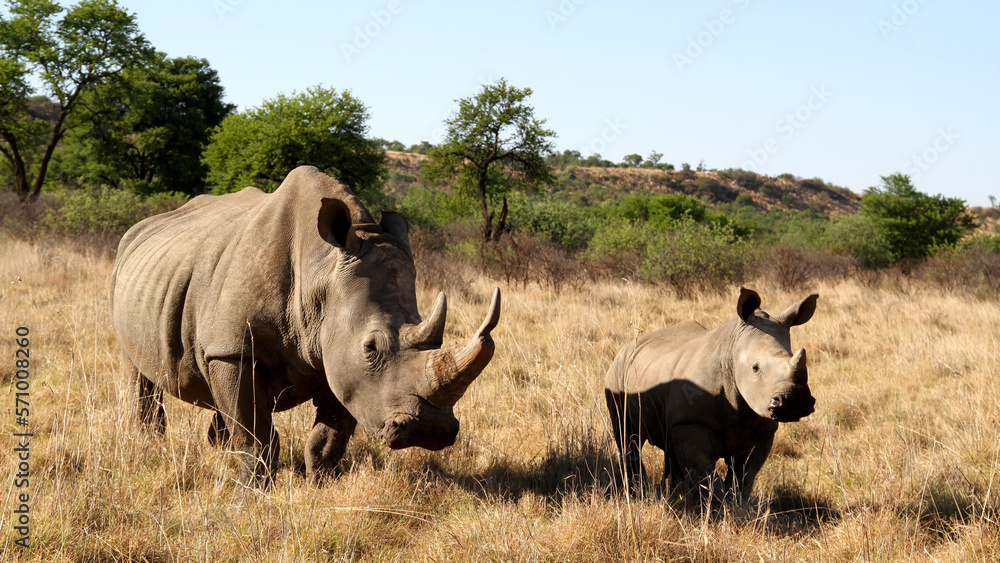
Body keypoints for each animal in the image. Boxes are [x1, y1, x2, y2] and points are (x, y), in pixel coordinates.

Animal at [110, 166, 500, 488]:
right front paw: (254, 493)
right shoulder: (234, 350)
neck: (320, 271)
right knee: (139, 375)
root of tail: (140, 228)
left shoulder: (336, 353)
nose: (431, 431)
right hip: (128, 275)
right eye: (370, 347)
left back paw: (217, 450)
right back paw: (149, 446)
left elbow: (328, 435)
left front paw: (321, 485)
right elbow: (255, 433)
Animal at [605, 288, 817, 505]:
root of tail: (628, 347)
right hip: (618, 371)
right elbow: (706, 472)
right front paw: (719, 507)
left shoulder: (763, 429)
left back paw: (672, 495)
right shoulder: (692, 422)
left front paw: (737, 506)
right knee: (628, 436)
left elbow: (745, 475)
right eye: (755, 368)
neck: (731, 352)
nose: (795, 401)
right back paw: (639, 492)